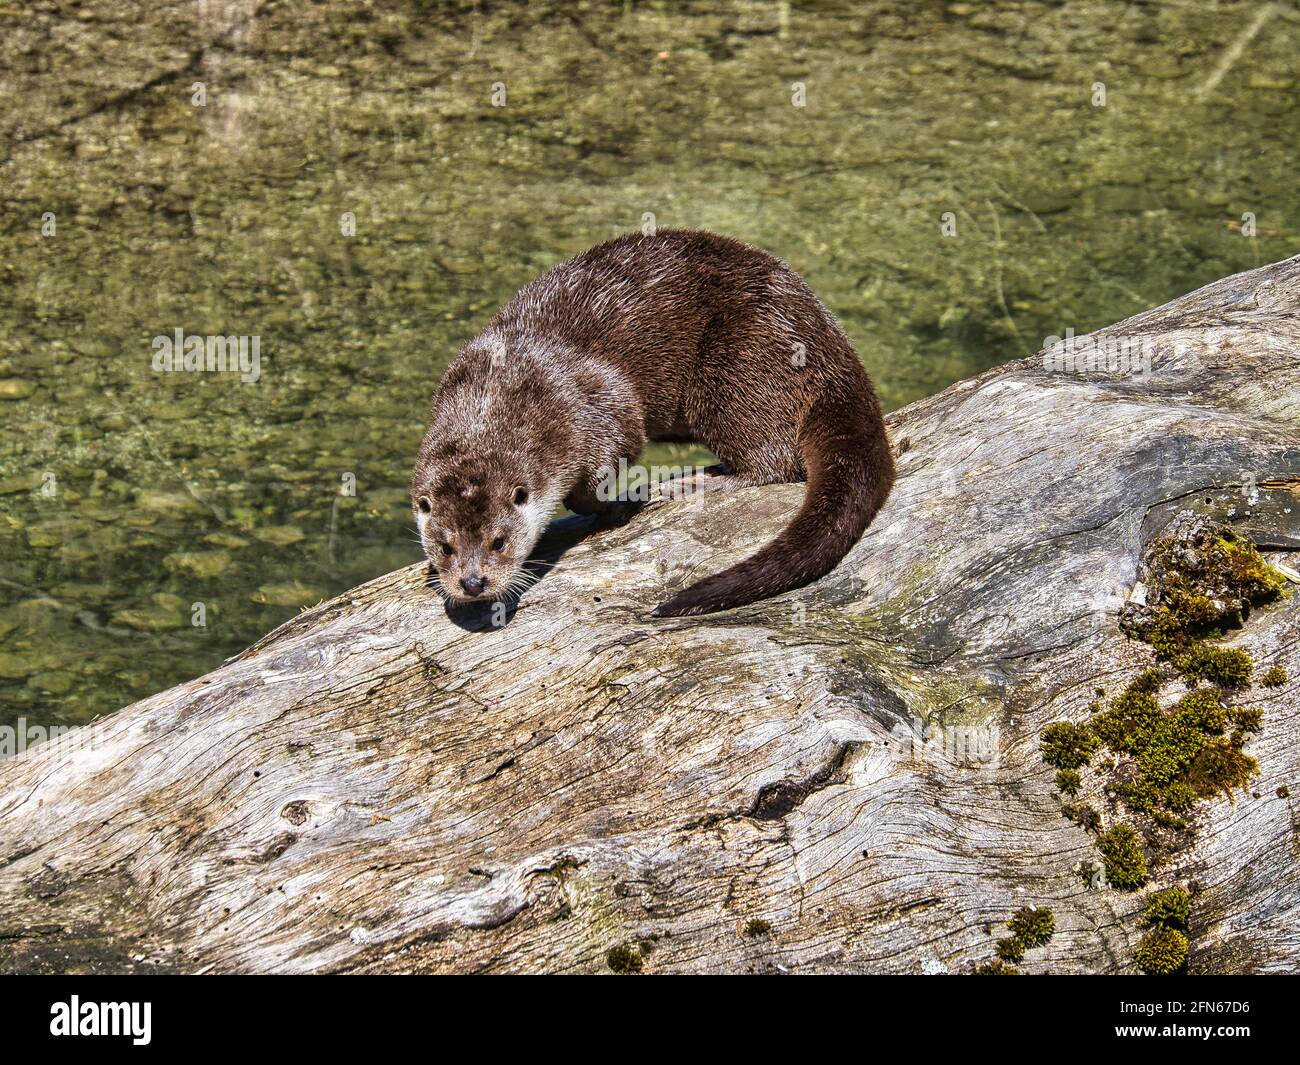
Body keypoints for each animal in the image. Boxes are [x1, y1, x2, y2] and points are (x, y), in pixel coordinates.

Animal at [410, 229, 895, 617]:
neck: (496, 393)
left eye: (499, 542)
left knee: (774, 462)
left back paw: (698, 482)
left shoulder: (599, 405)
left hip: (736, 364)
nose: (473, 583)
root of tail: (828, 339)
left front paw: (620, 505)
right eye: (446, 546)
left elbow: (601, 474)